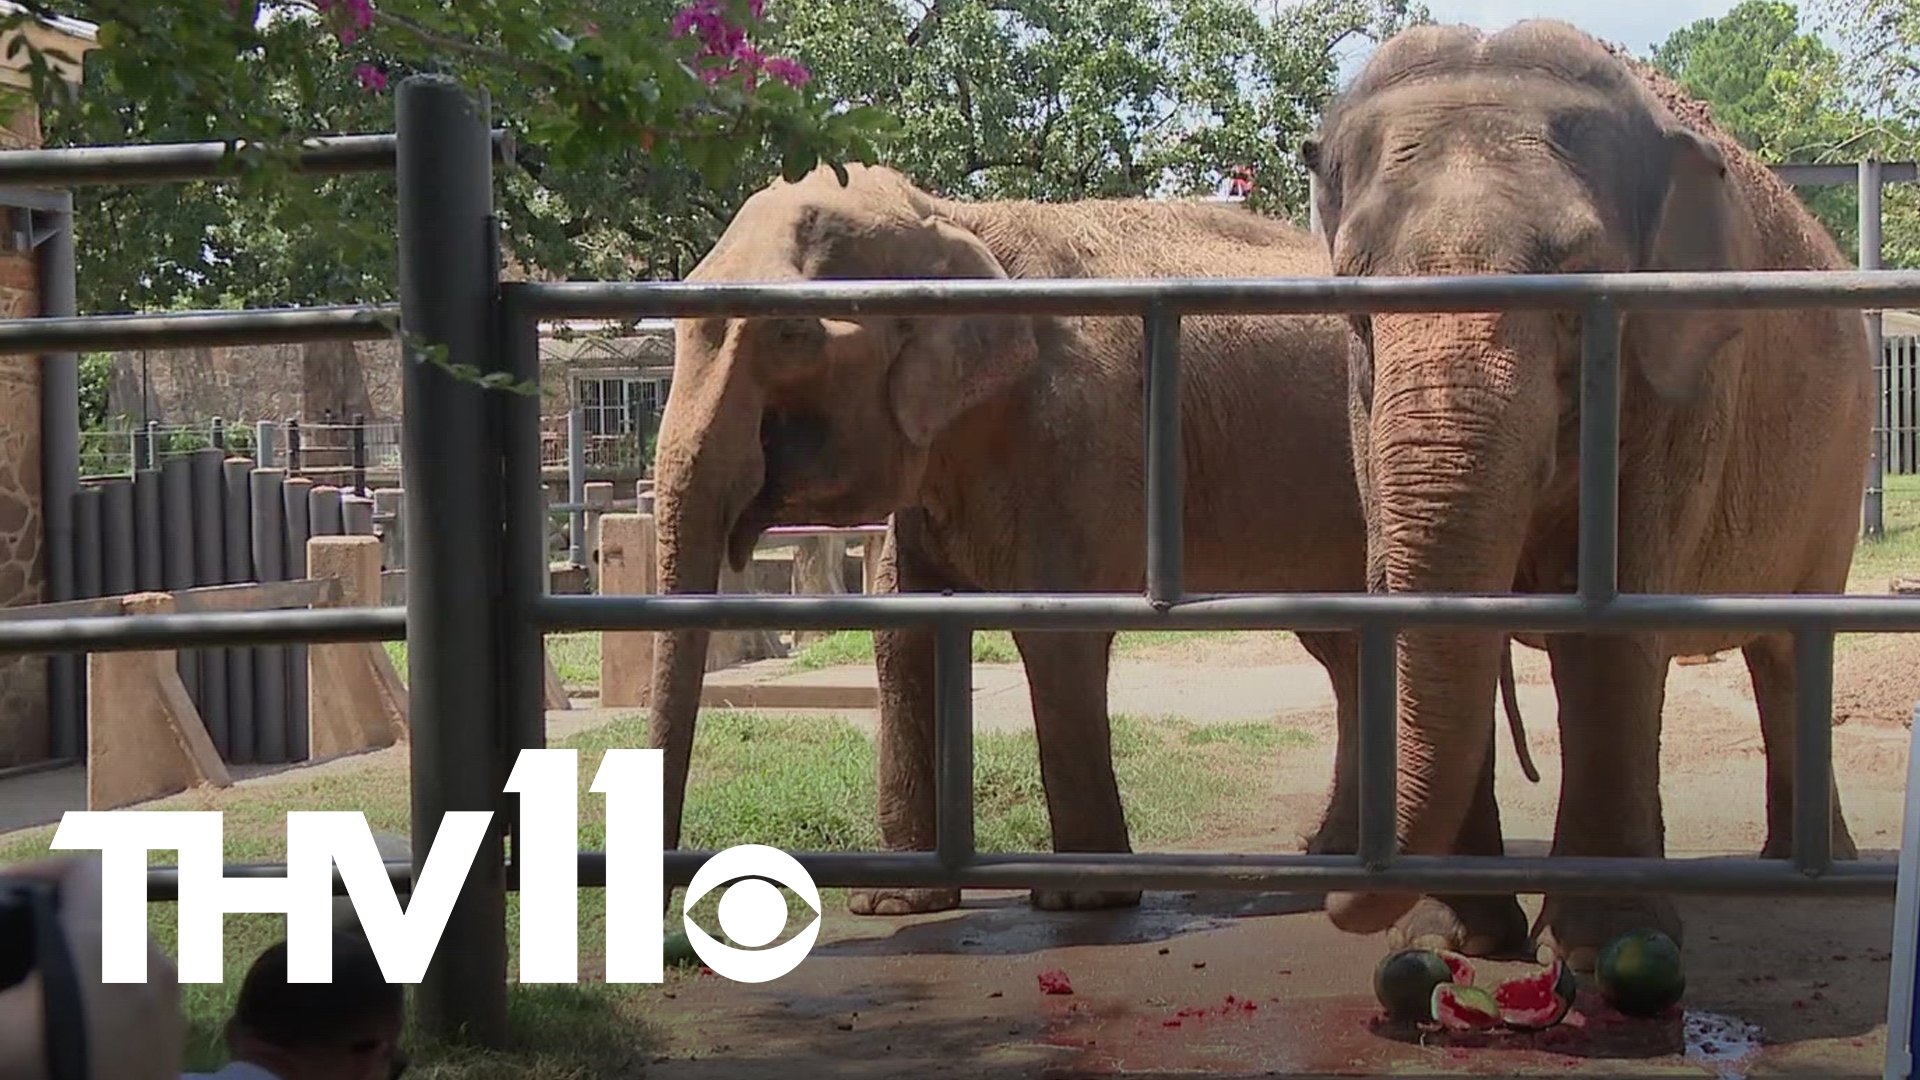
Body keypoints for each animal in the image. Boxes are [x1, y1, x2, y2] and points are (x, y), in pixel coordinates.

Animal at [642, 161, 1409, 916]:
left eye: (789, 335)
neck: (949, 214)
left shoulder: (1076, 432)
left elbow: (1055, 630)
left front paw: (1078, 899)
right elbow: (901, 634)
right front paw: (893, 903)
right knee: (1342, 644)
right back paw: (1336, 858)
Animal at [1296, 19, 1873, 968]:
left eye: (1580, 290)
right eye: (1353, 296)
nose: (1330, 881)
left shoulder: (1680, 383)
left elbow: (1613, 622)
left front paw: (1606, 950)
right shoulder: (1358, 405)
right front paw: (1455, 943)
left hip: (1840, 471)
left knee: (1792, 650)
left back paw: (1807, 872)